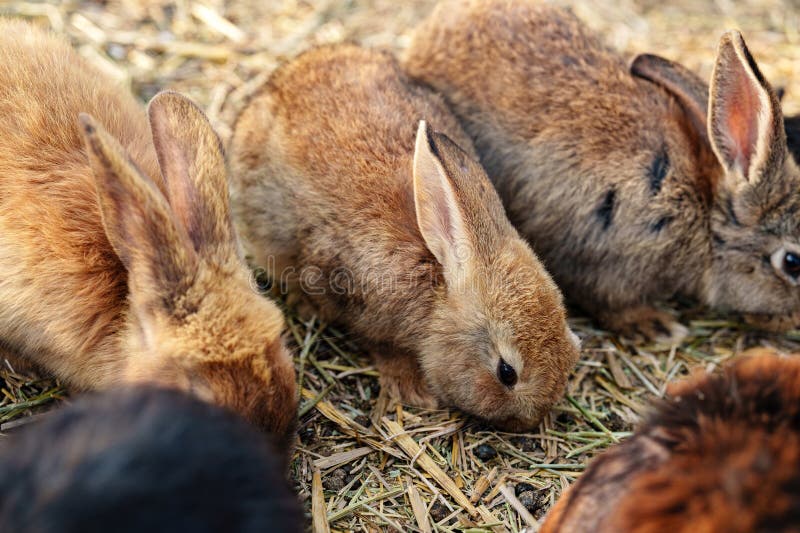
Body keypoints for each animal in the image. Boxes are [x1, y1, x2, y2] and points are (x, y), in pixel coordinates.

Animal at [228, 44, 580, 431]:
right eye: (507, 372)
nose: (530, 420)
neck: (438, 278)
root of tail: (279, 79)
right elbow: (383, 348)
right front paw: (413, 389)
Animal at [404, 0, 800, 341]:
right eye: (793, 262)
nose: (794, 320)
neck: (699, 210)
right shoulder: (603, 265)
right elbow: (610, 304)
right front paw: (656, 325)